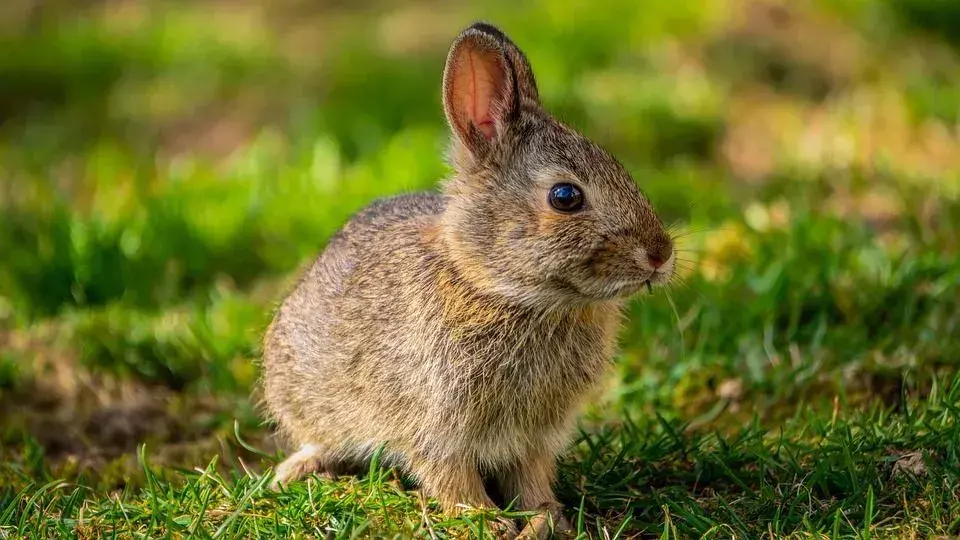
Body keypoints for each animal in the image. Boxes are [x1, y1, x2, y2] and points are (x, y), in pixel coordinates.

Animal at [258, 20, 672, 536]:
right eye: (565, 197)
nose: (661, 254)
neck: (500, 290)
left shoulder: (534, 437)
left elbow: (531, 477)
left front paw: (547, 517)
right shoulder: (433, 425)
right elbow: (450, 476)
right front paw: (485, 520)